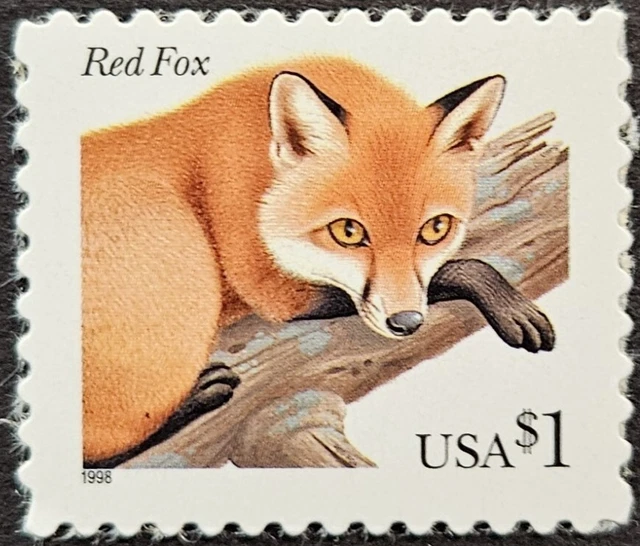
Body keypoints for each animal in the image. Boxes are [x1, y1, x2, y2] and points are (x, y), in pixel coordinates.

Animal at [82, 57, 554, 467]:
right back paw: (197, 398)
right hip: (172, 239)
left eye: (436, 228)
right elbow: (463, 267)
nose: (406, 323)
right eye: (348, 232)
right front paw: (507, 302)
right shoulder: (270, 285)